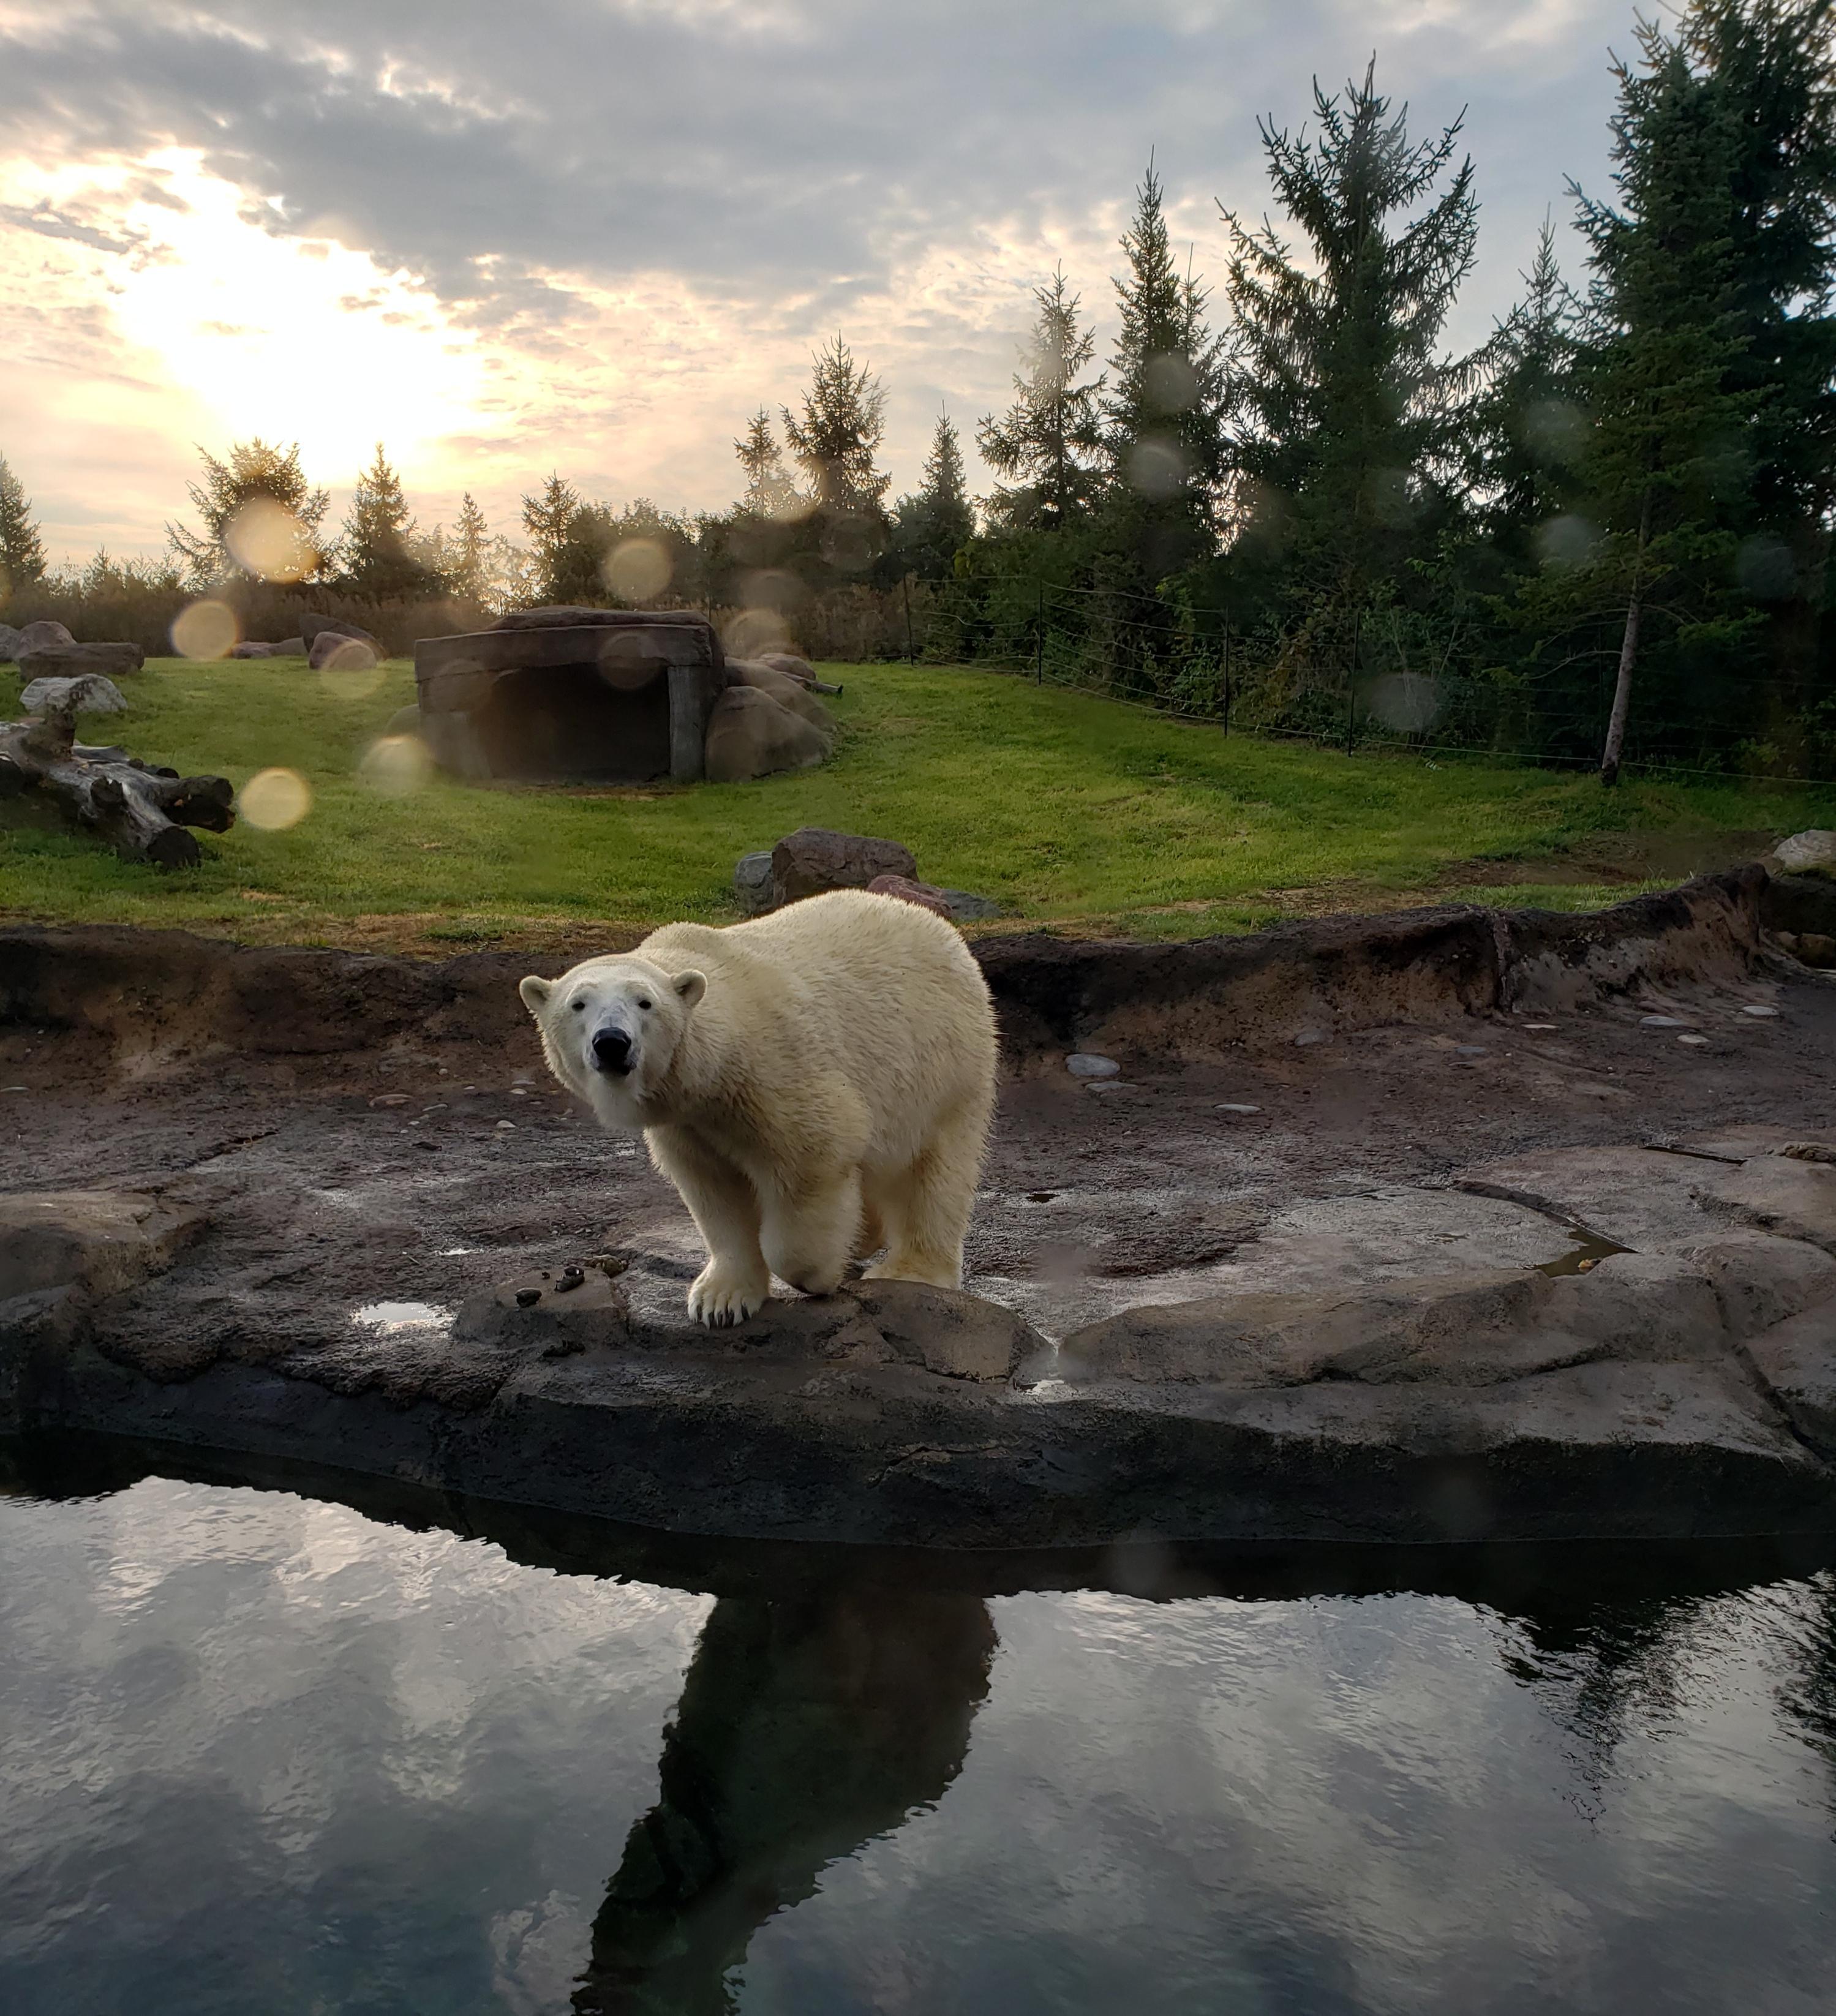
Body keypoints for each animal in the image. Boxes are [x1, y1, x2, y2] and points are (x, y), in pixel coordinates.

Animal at [519, 888, 998, 1327]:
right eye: (578, 1004)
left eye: (645, 1002)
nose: (612, 1043)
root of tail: (937, 927)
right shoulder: (688, 1123)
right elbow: (715, 1193)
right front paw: (720, 1301)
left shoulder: (777, 1077)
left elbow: (814, 1158)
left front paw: (815, 1274)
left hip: (941, 1064)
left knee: (934, 1172)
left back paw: (909, 1270)